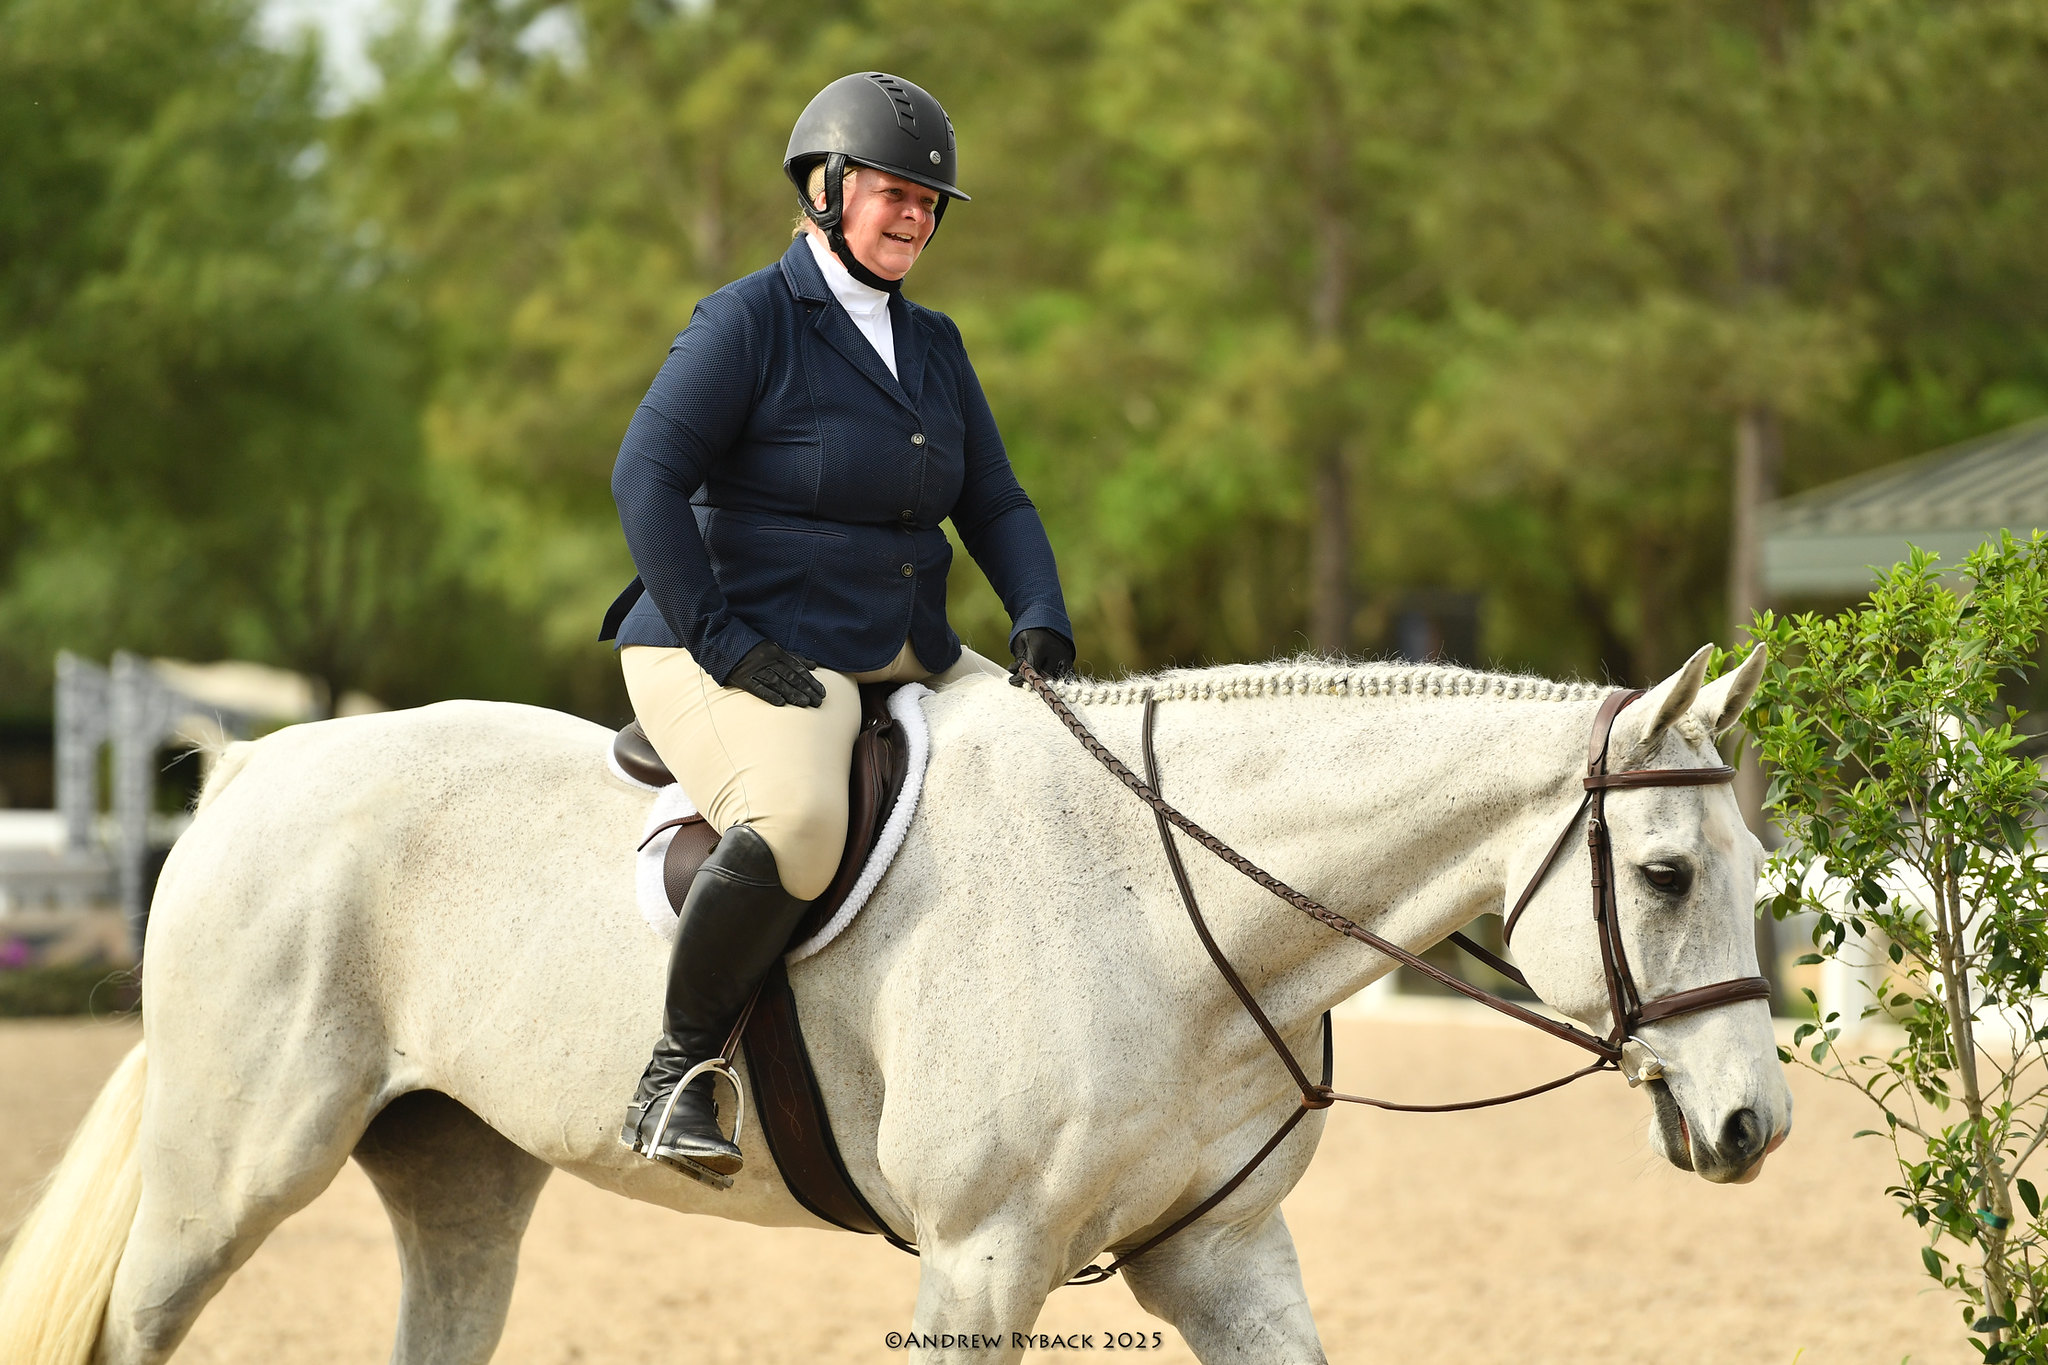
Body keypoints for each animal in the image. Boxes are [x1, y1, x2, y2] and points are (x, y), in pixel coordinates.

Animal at [0, 643, 1789, 1365]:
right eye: (1667, 874)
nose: (1752, 1125)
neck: (1164, 905)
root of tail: (257, 769)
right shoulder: (980, 1257)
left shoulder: (1223, 1255)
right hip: (234, 1175)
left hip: (459, 1175)